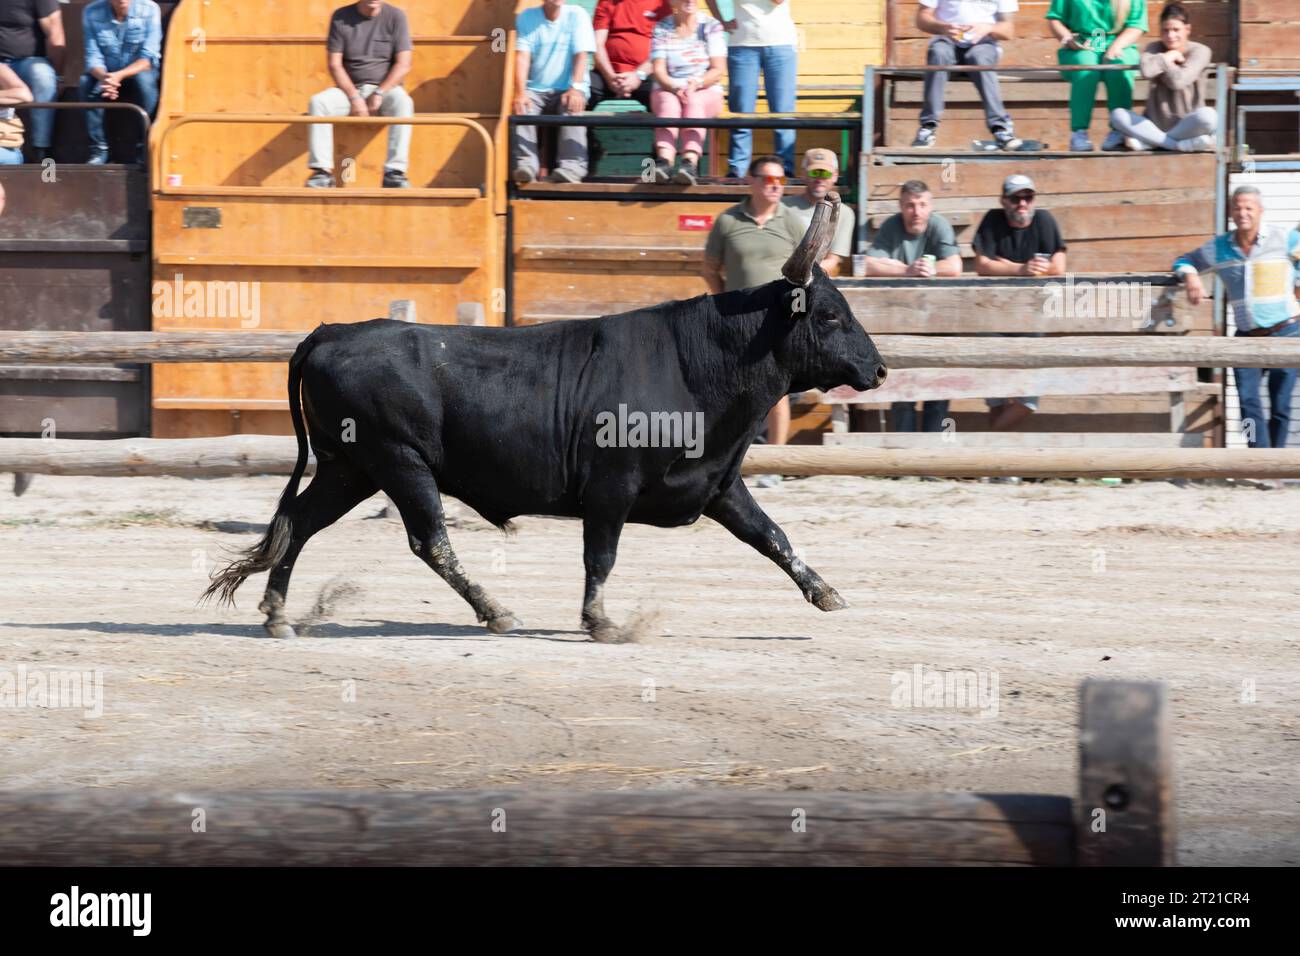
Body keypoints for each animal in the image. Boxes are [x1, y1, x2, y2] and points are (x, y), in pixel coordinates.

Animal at [202, 193, 887, 642]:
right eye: (829, 315)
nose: (879, 371)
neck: (698, 362)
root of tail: (331, 331)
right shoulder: (612, 487)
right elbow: (600, 556)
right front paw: (601, 622)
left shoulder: (719, 484)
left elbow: (772, 535)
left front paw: (826, 593)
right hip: (398, 462)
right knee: (430, 540)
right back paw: (495, 610)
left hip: (350, 467)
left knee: (298, 523)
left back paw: (278, 614)